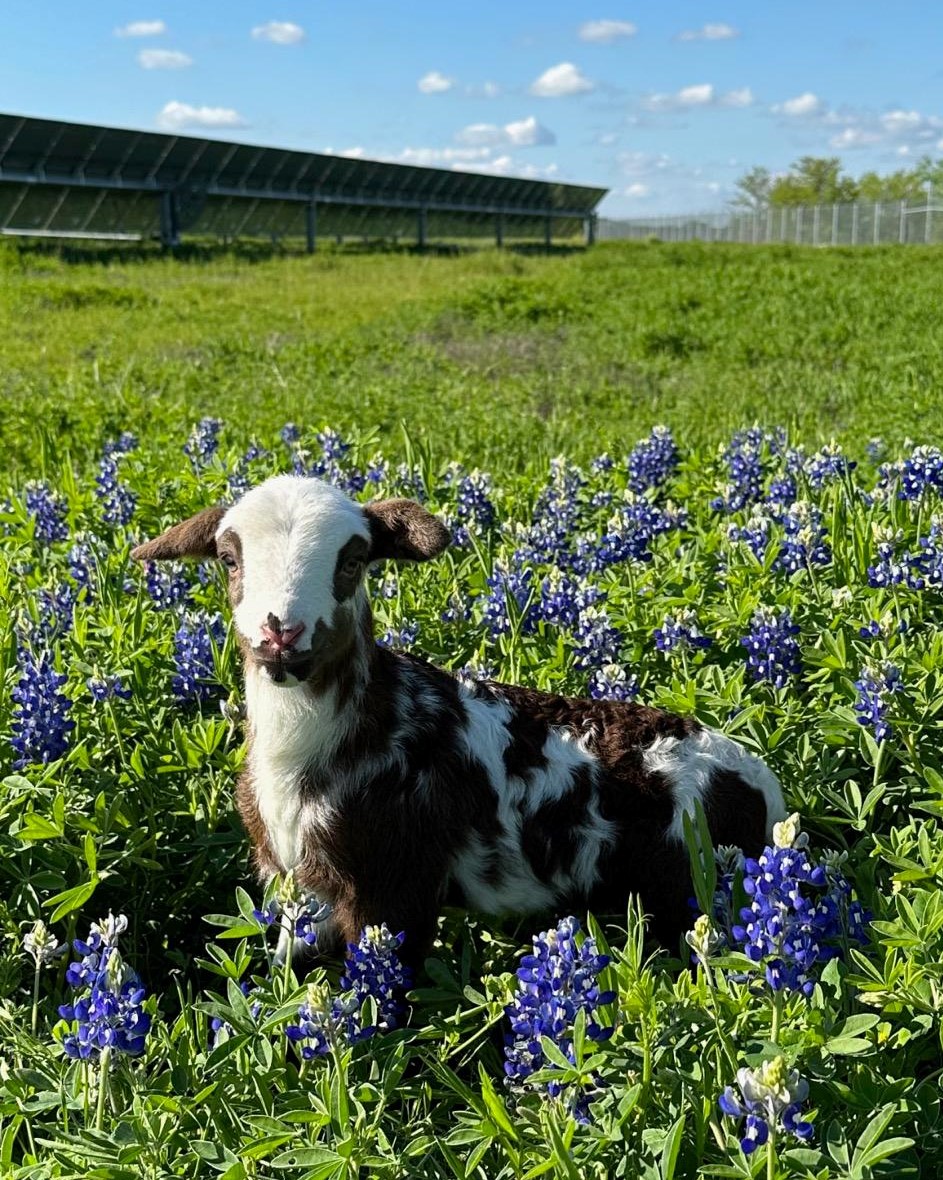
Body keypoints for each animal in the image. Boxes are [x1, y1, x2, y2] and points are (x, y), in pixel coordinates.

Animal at [132, 474, 786, 966]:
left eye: (354, 560)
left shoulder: (395, 888)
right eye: (228, 558)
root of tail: (765, 785)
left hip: (694, 888)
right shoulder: (296, 886)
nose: (281, 633)